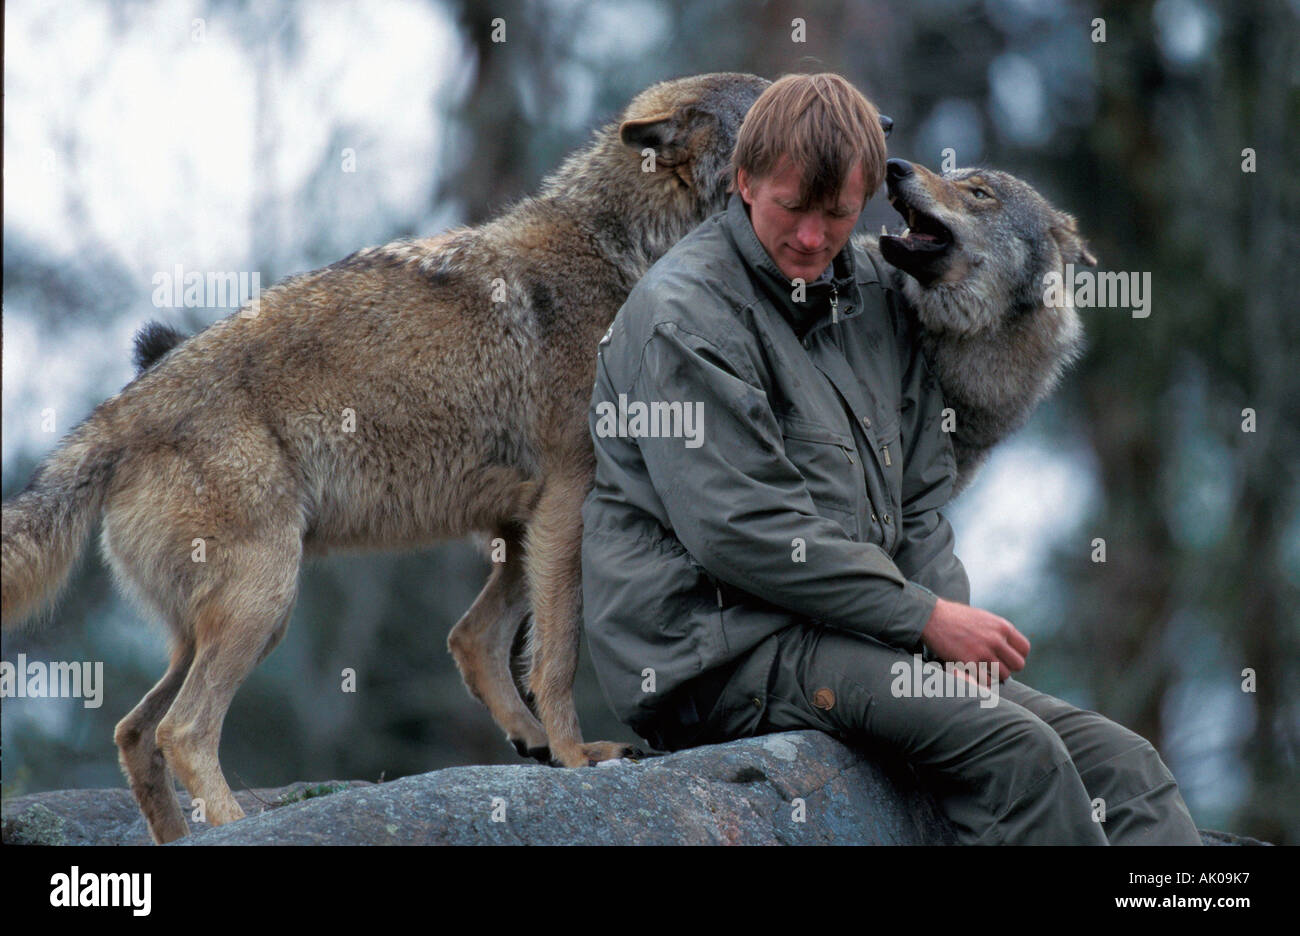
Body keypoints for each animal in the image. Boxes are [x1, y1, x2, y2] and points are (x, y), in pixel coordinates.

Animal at [1, 72, 774, 843]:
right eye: (767, 108)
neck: (624, 248)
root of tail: (118, 413)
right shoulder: (568, 498)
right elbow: (555, 657)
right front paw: (578, 758)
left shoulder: (526, 521)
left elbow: (485, 642)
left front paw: (549, 748)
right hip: (264, 599)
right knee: (181, 731)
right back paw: (236, 823)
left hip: (241, 619)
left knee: (137, 730)